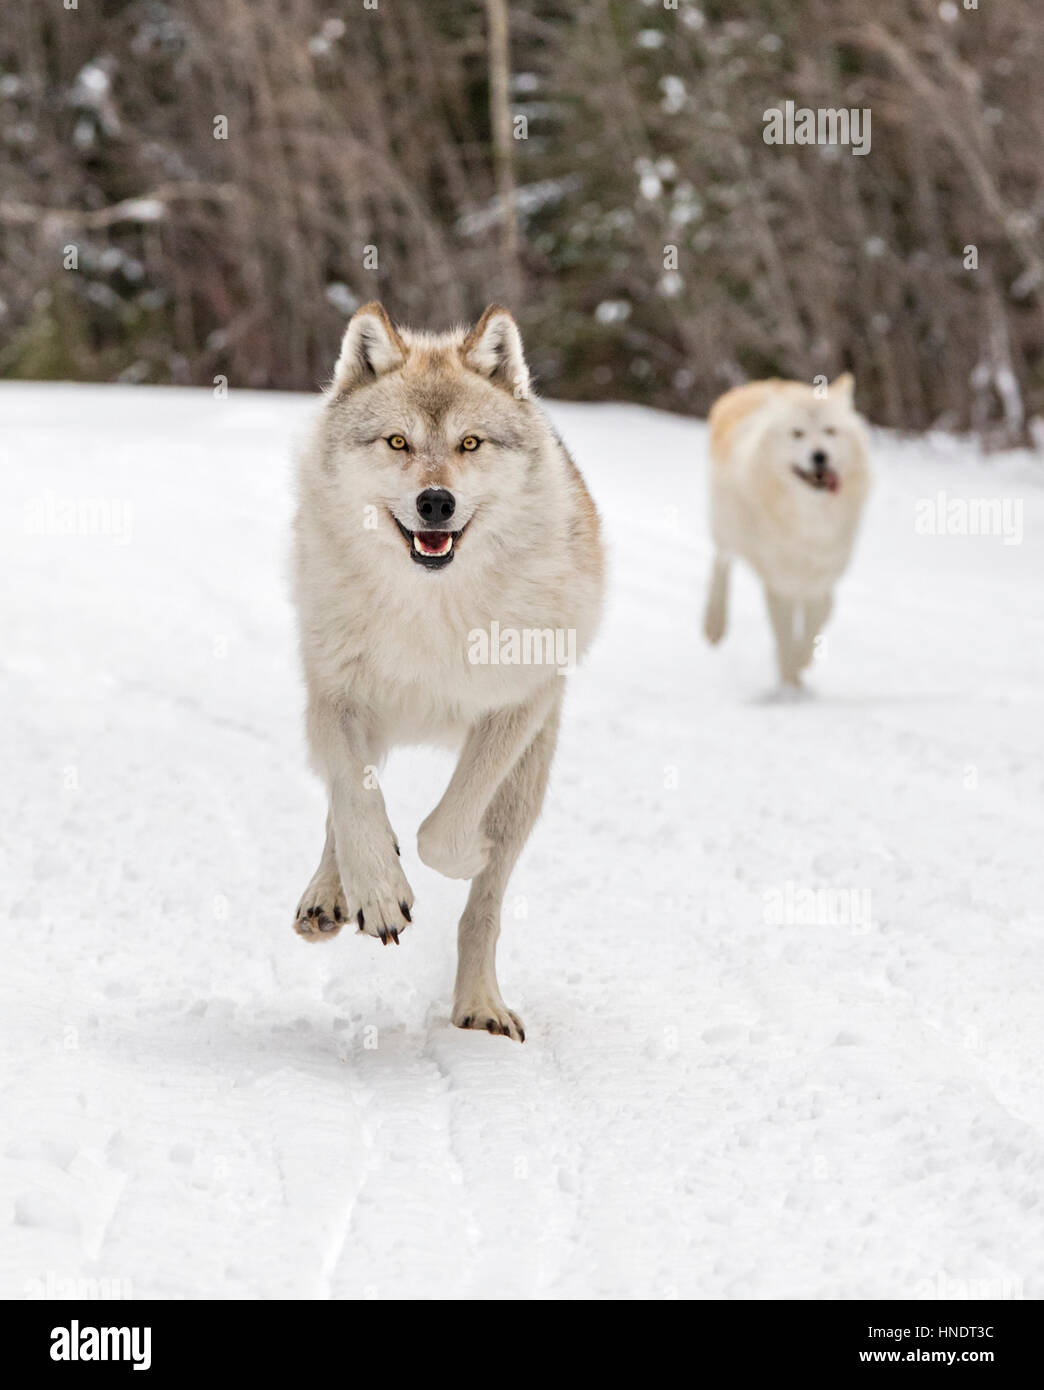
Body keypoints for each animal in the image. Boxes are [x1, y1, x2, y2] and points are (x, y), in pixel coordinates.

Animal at [291, 303, 605, 1041]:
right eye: (398, 442)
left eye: (469, 444)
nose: (436, 502)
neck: (430, 603)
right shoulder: (334, 695)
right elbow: (354, 801)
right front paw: (377, 893)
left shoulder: (521, 701)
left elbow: (446, 831)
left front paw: (463, 859)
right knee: (345, 805)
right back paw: (330, 898)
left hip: (530, 775)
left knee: (484, 909)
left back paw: (479, 1007)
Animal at [703, 375, 870, 688]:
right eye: (798, 434)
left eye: (830, 431)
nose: (819, 456)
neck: (808, 520)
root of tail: (759, 385)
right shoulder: (780, 582)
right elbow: (784, 637)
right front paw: (790, 684)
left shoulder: (821, 575)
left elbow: (819, 615)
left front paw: (802, 663)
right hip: (727, 528)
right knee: (721, 562)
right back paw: (714, 624)